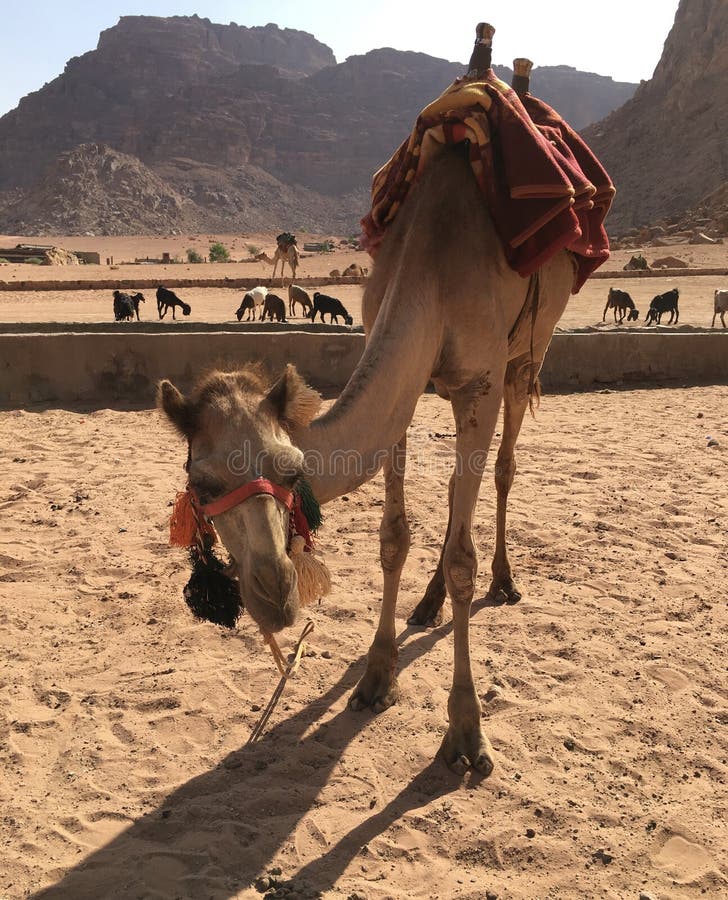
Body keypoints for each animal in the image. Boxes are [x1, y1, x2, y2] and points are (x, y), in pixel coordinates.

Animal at [158, 142, 576, 774]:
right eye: (201, 486)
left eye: (291, 471)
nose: (275, 594)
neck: (433, 264)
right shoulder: (405, 382)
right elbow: (393, 537)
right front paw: (377, 678)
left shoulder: (478, 381)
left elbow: (464, 557)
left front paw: (466, 731)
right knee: (457, 494)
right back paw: (427, 604)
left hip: (528, 348)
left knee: (503, 467)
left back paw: (504, 582)